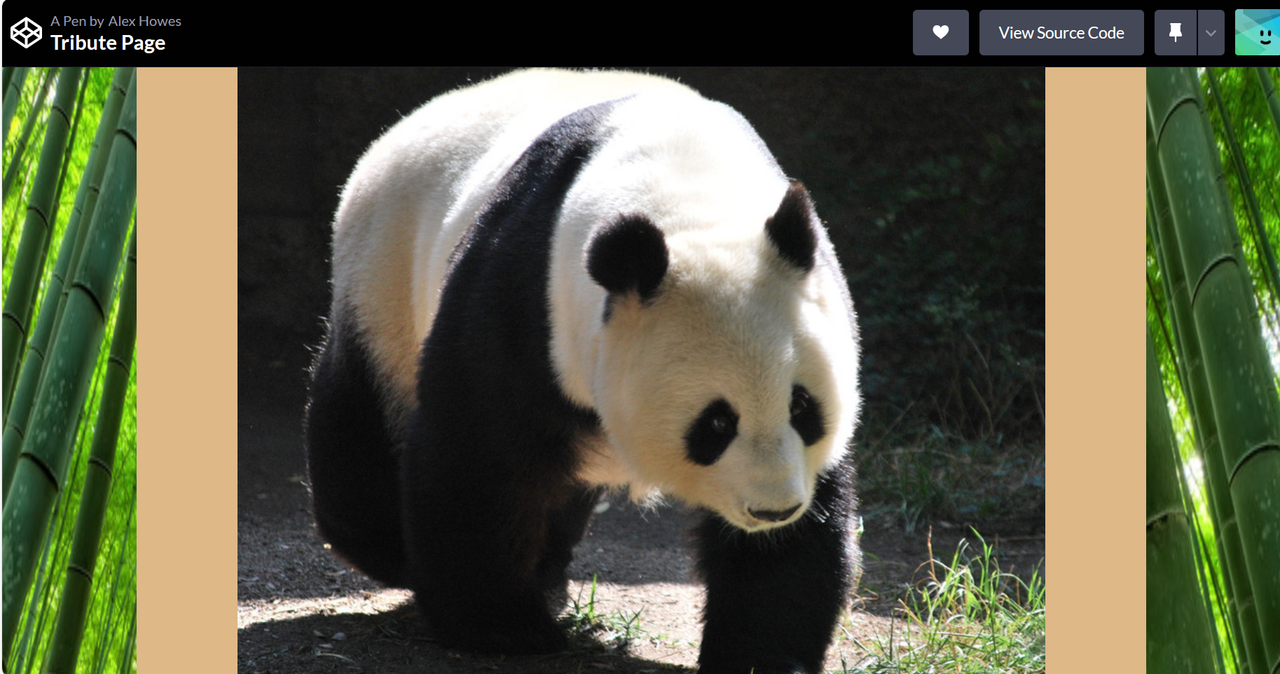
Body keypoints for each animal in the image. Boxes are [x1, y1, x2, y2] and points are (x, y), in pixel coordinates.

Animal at [304, 69, 861, 674]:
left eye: (803, 408)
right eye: (716, 423)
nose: (774, 508)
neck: (688, 195)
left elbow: (794, 543)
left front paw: (762, 653)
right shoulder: (526, 293)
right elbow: (479, 453)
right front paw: (502, 626)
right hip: (386, 282)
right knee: (361, 427)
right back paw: (390, 547)